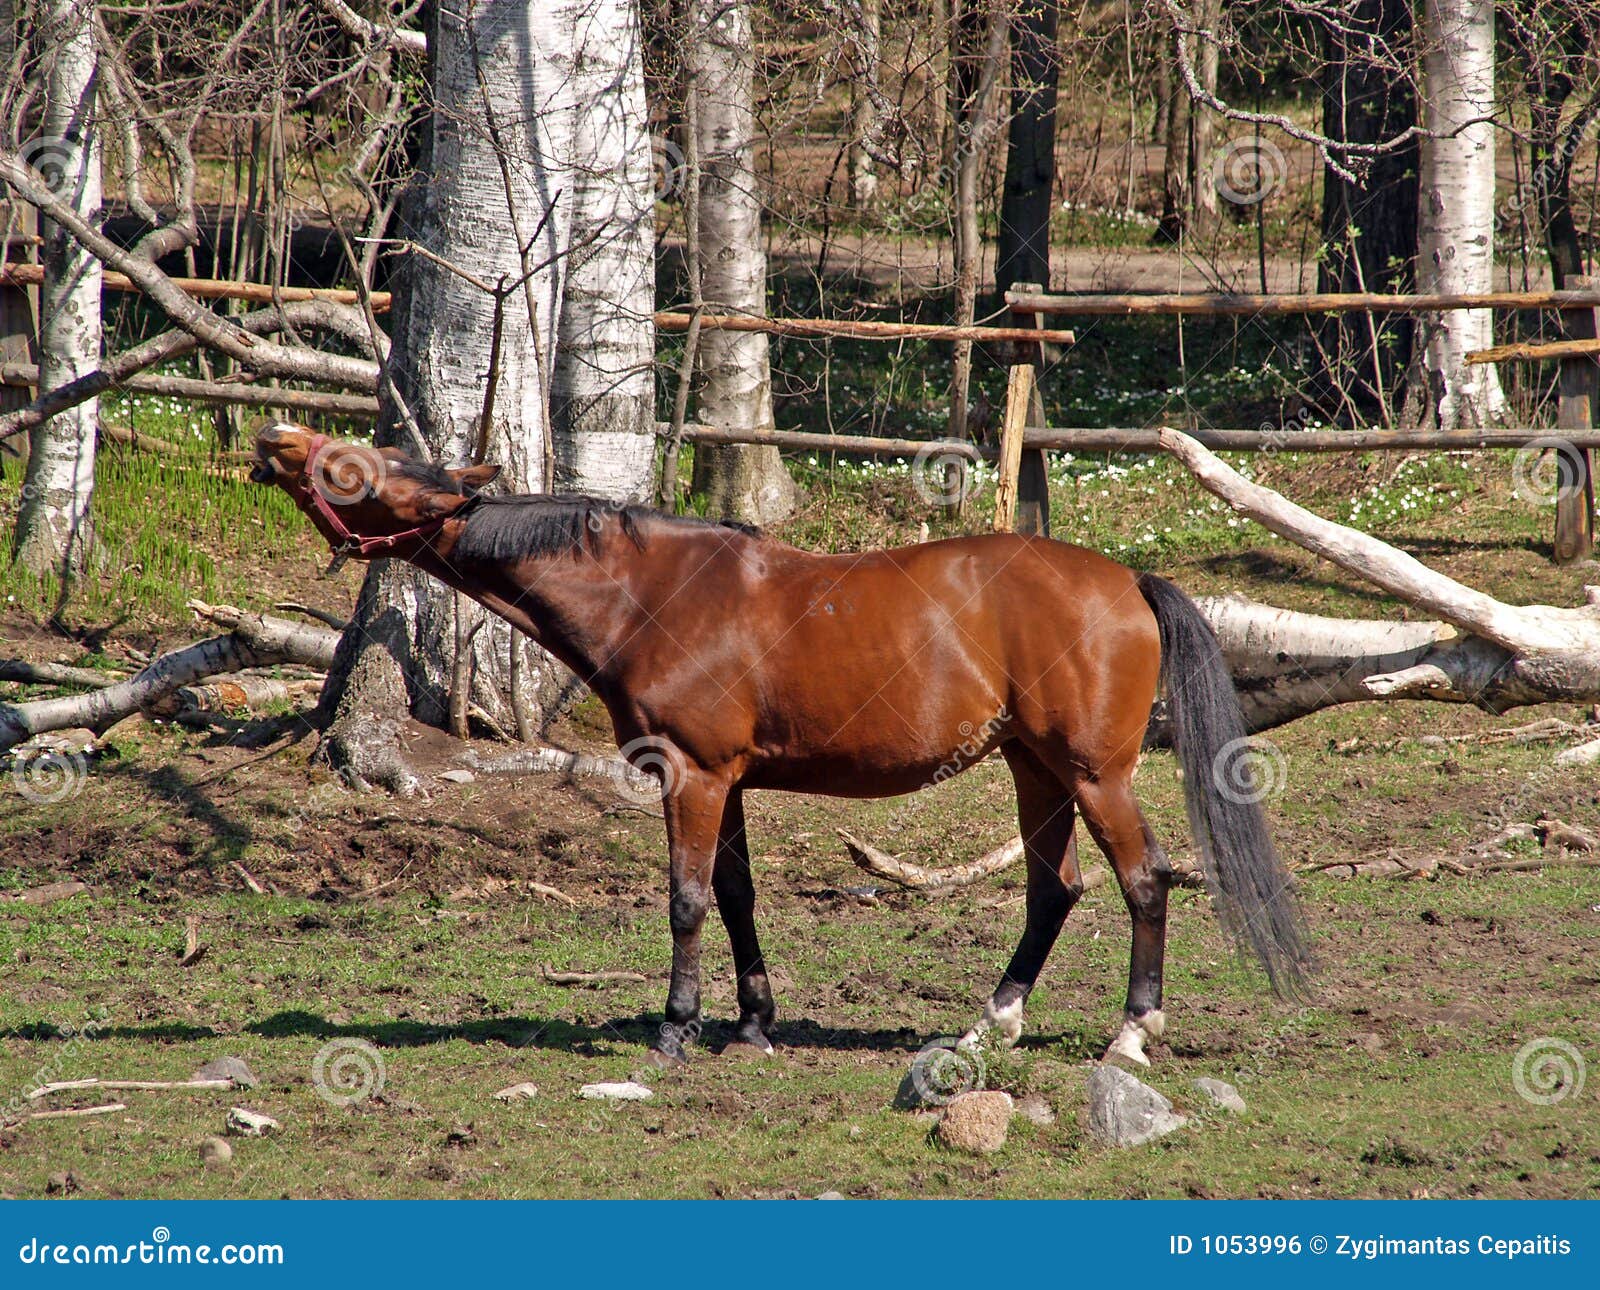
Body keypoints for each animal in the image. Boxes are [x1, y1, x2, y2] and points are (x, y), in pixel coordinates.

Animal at [251, 423, 1308, 1066]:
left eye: (363, 464)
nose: (278, 442)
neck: (650, 591)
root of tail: (1129, 580)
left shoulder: (691, 775)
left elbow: (685, 901)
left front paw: (678, 1030)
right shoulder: (730, 783)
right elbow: (735, 895)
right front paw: (753, 1025)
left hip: (1095, 775)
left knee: (1144, 880)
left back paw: (1132, 1032)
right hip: (1035, 770)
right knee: (1055, 889)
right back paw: (993, 1022)